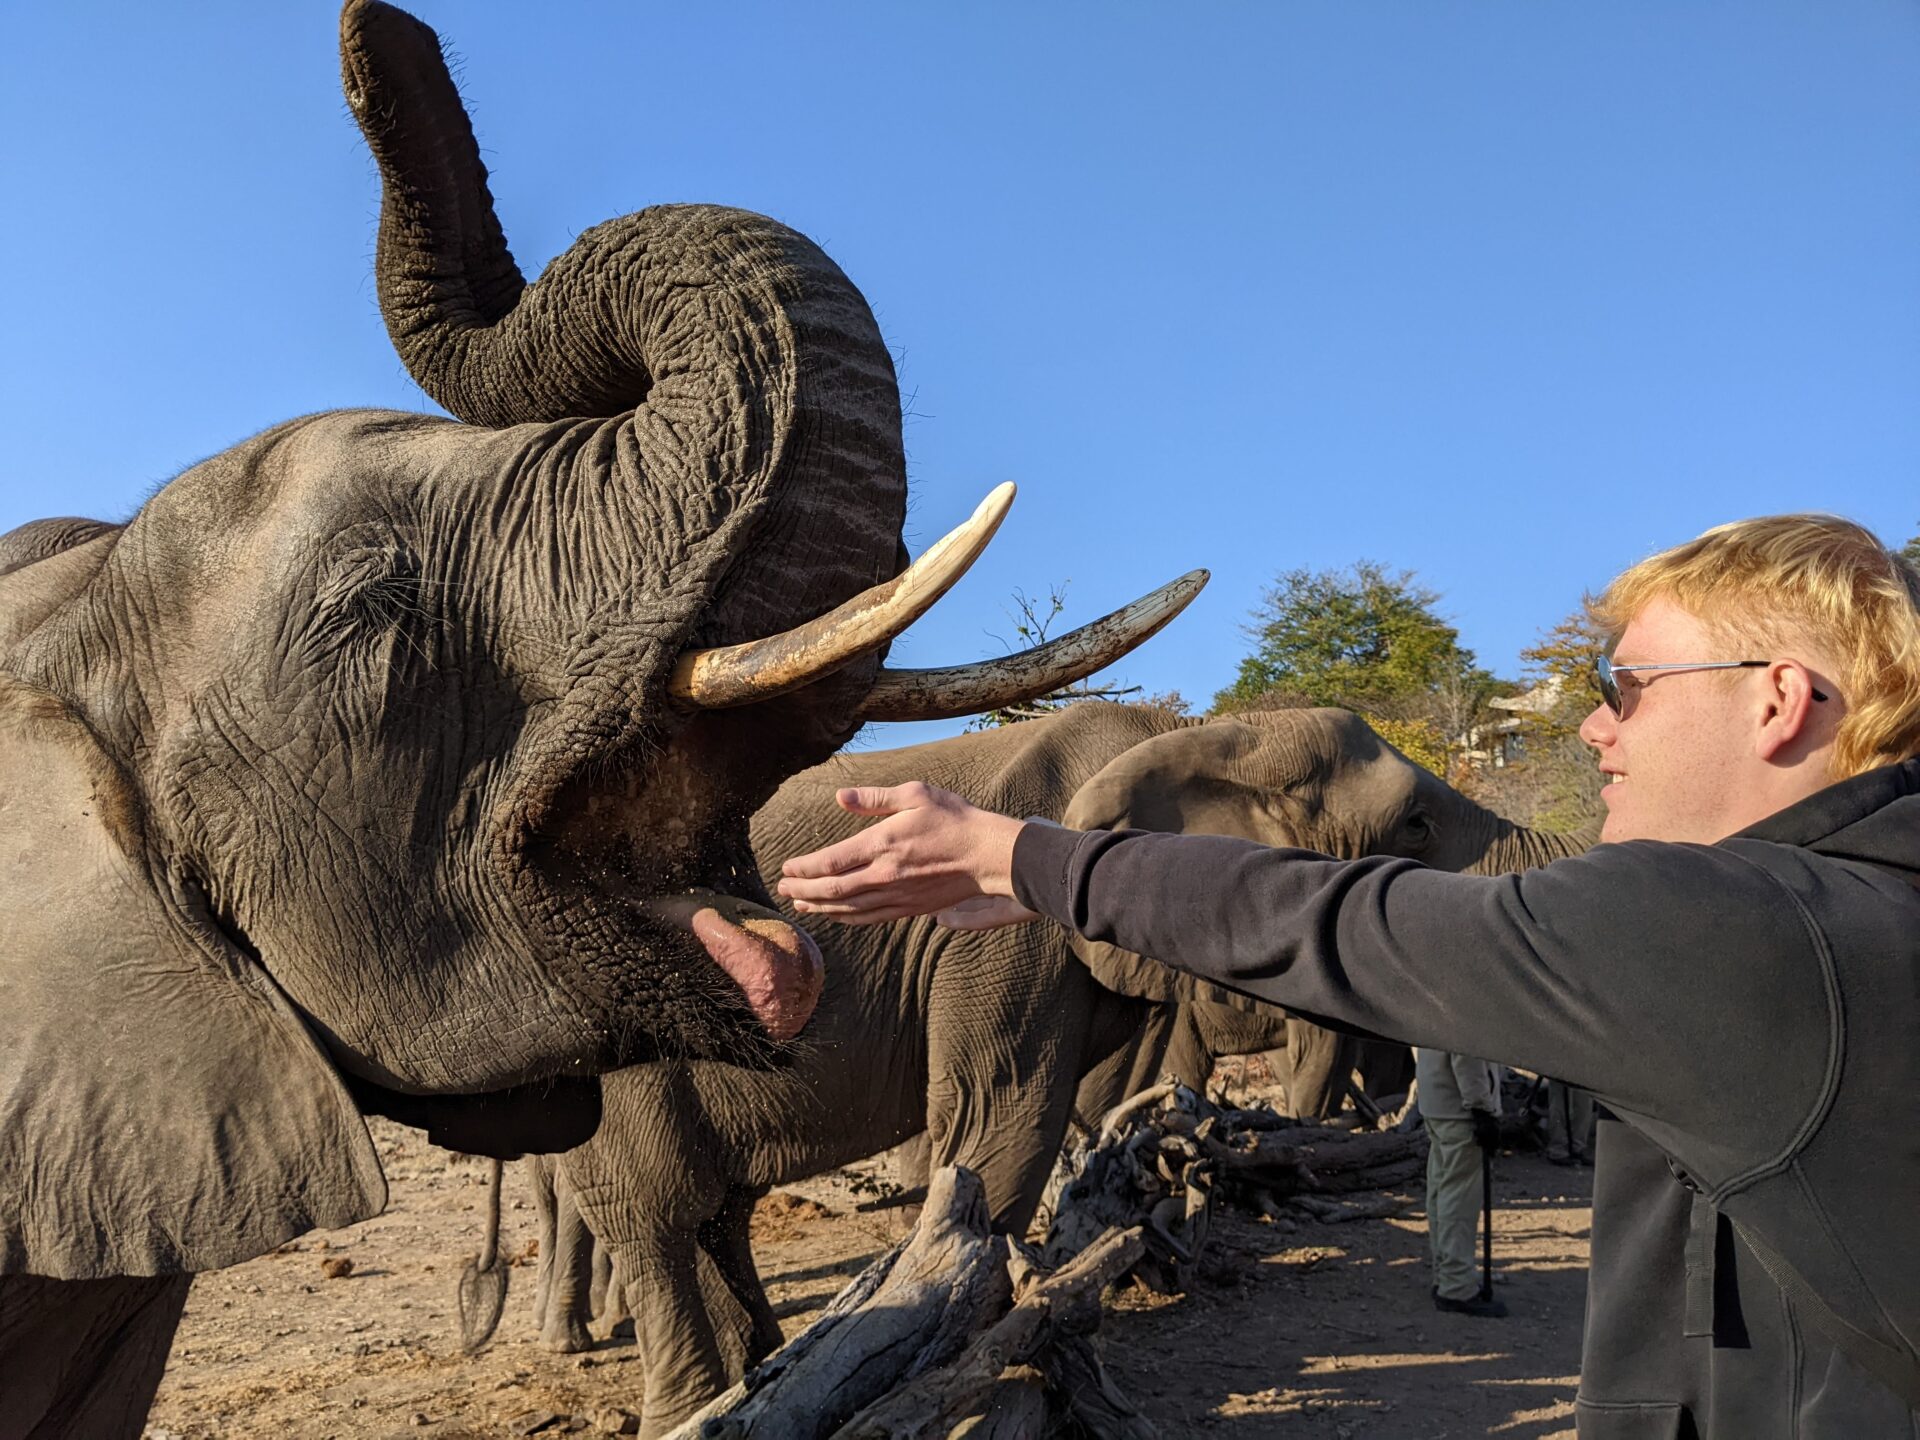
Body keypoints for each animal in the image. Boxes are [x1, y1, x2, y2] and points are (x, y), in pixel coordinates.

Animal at [485, 701, 1584, 1435]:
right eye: (1416, 825)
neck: (1197, 731)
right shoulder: (1003, 940)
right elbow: (1000, 1118)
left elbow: (1107, 1101)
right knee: (660, 1215)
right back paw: (700, 1400)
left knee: (717, 1213)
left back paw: (762, 1370)